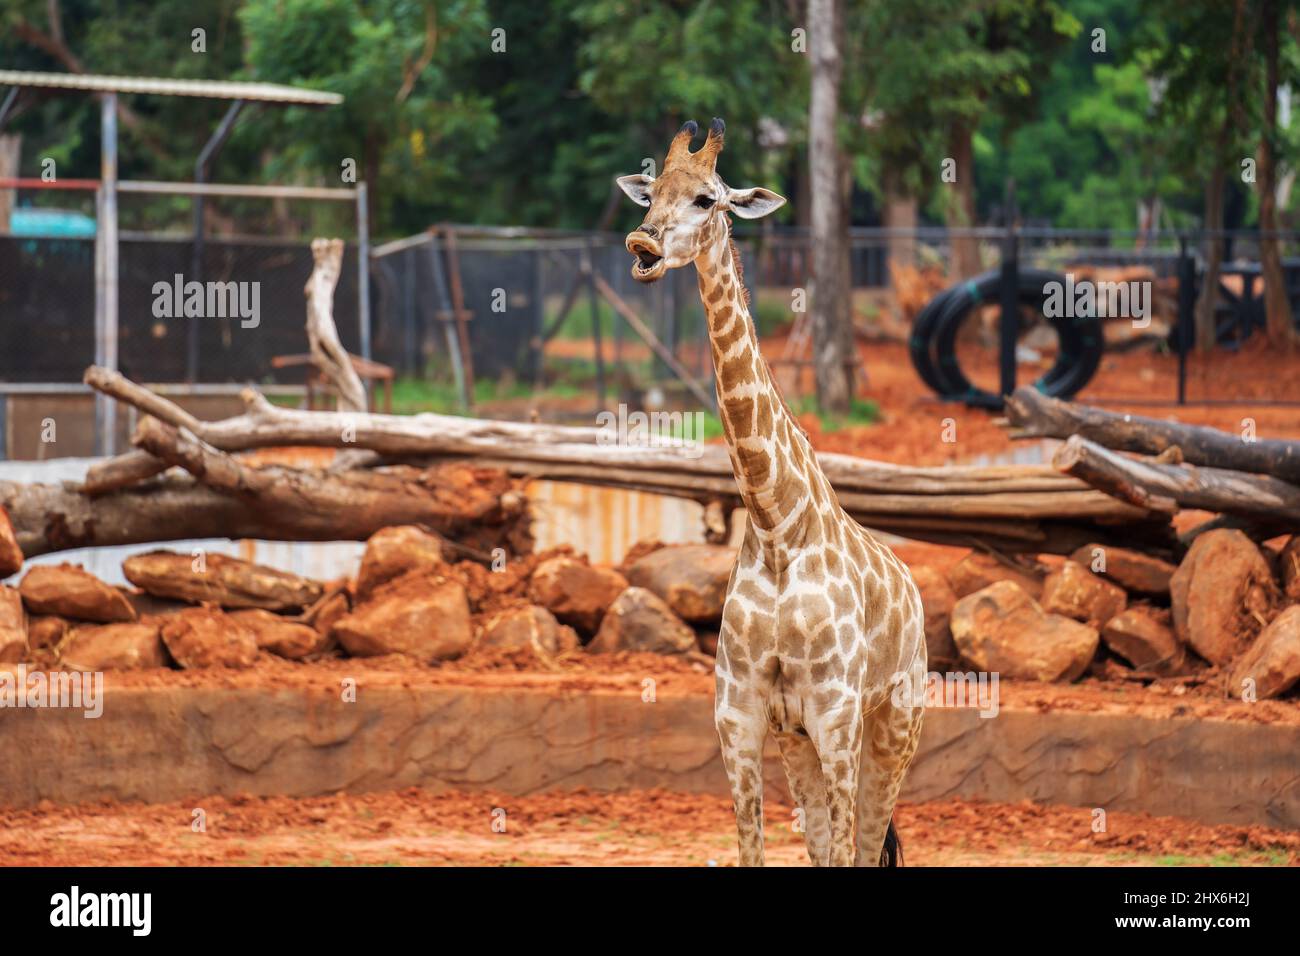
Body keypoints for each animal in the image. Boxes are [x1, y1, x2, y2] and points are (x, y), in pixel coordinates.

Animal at [618, 118, 926, 867]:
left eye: (707, 199)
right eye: (651, 194)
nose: (642, 246)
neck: (775, 524)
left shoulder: (837, 717)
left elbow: (846, 853)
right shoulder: (742, 717)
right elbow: (754, 849)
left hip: (895, 725)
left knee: (867, 844)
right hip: (800, 743)